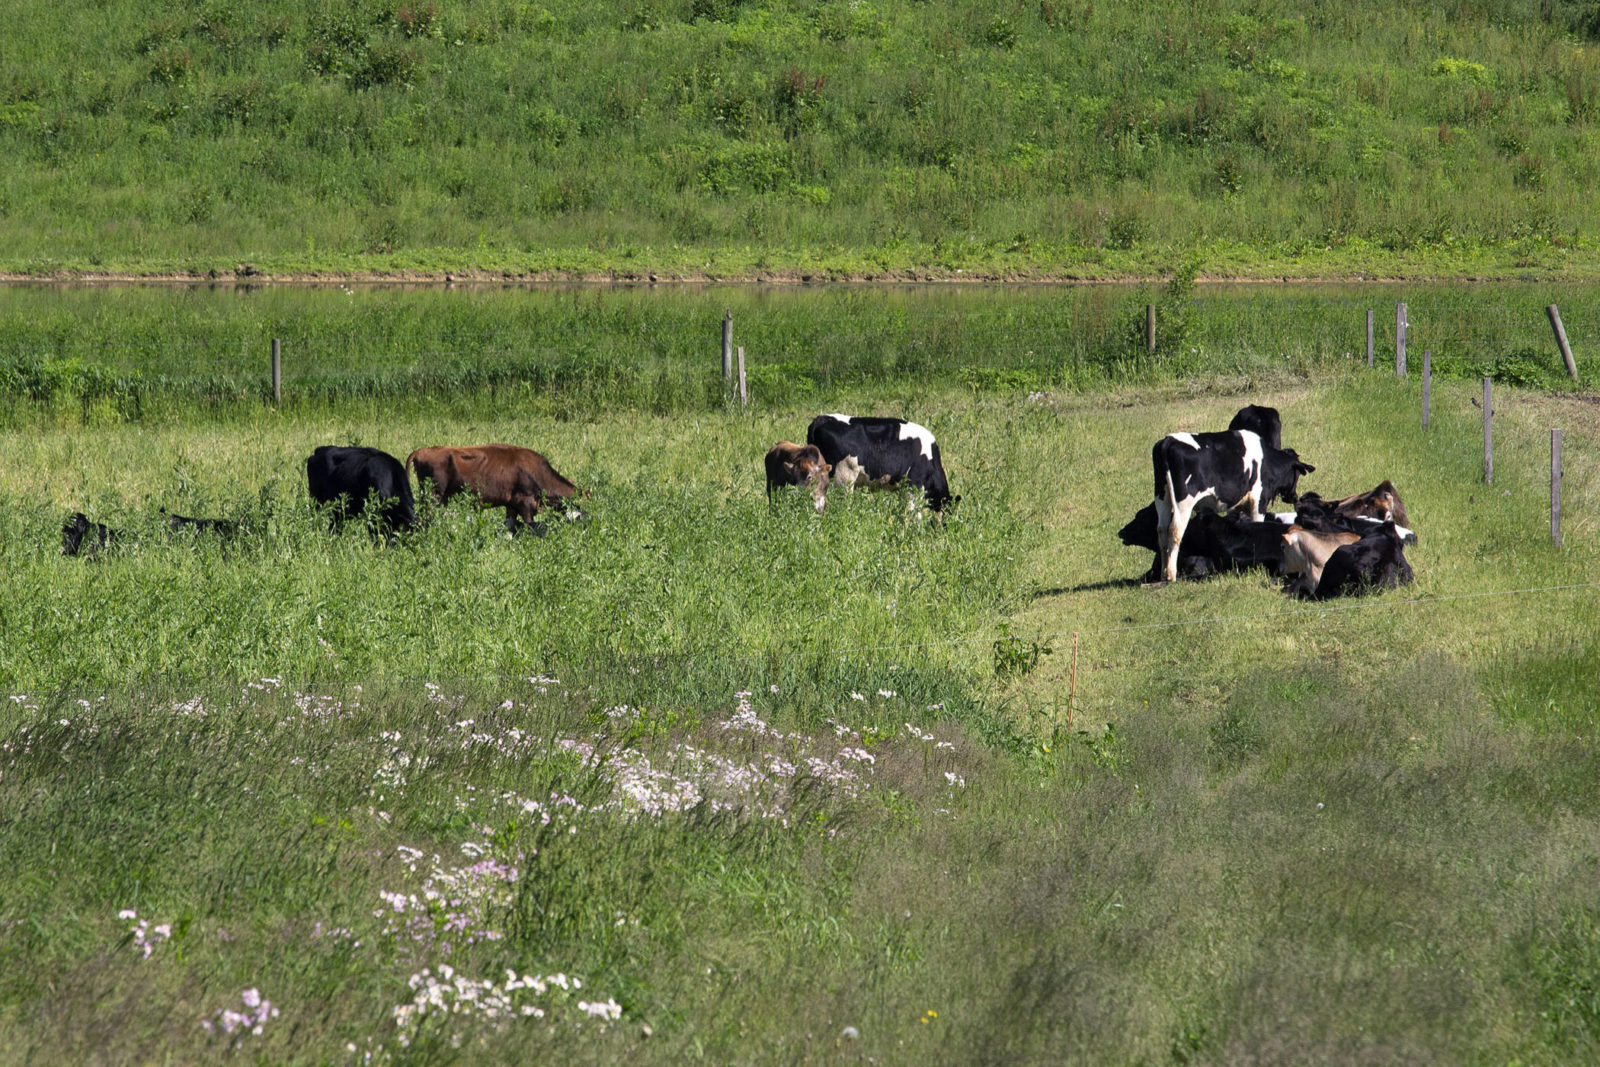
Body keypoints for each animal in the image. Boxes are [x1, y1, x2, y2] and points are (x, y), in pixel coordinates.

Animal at [1152, 429, 1314, 584]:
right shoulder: (1259, 501)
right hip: (1183, 502)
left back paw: (1163, 574)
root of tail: (1168, 441)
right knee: (1175, 531)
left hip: (1162, 496)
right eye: (1297, 474)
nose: (1294, 497)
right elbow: (1258, 524)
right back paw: (1171, 576)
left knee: (1161, 531)